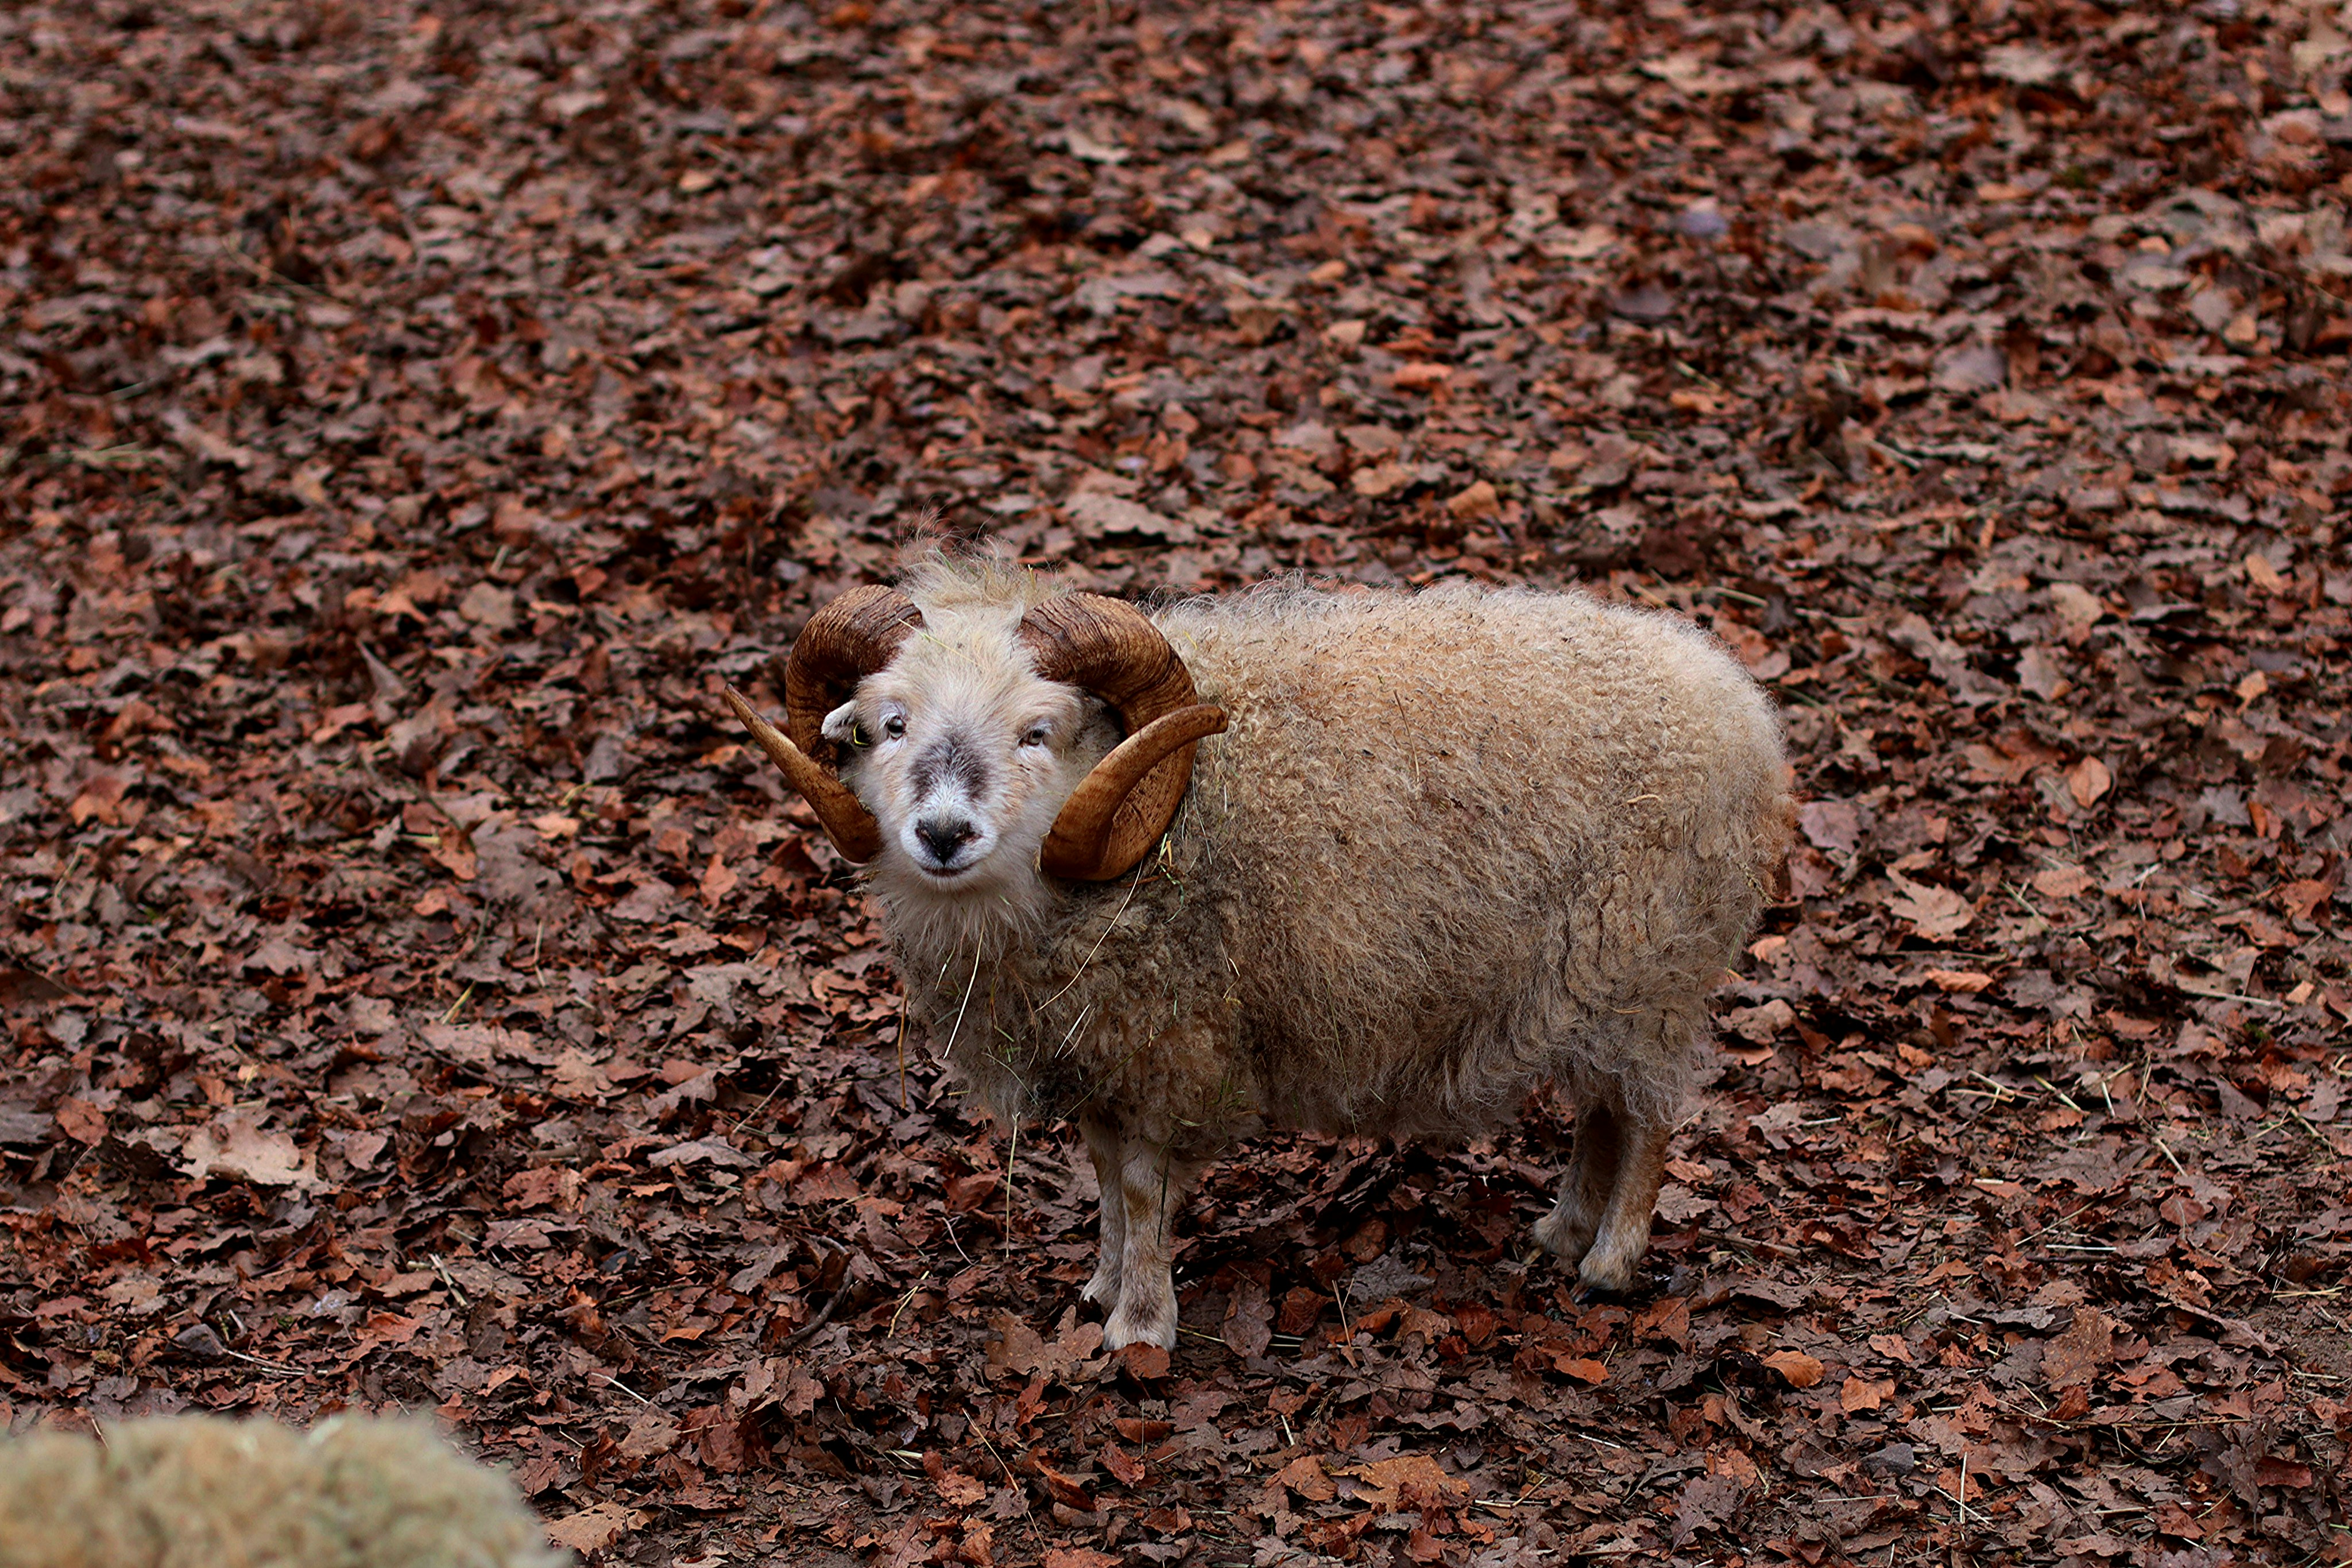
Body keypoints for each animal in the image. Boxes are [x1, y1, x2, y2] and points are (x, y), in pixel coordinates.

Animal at [725, 558, 1791, 1351]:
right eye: (891, 723)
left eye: (1039, 730)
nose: (943, 833)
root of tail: (1740, 705)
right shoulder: (1104, 1046)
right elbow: (1105, 1177)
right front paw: (1099, 1282)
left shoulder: (1171, 1043)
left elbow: (1144, 1187)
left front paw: (1139, 1326)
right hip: (1591, 977)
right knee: (1600, 1109)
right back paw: (1563, 1230)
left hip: (1649, 960)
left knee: (1645, 1115)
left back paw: (1612, 1260)